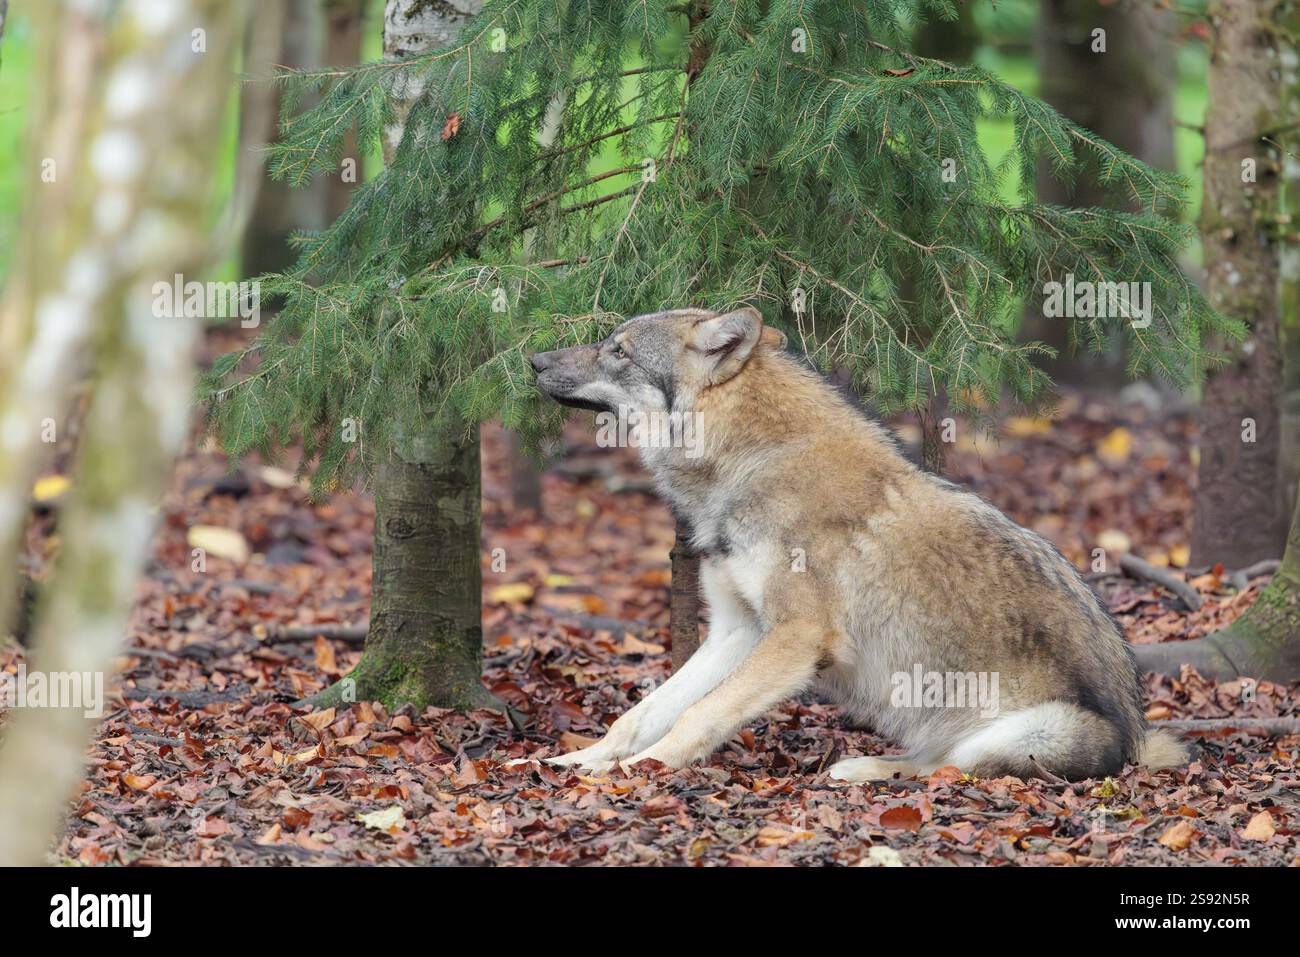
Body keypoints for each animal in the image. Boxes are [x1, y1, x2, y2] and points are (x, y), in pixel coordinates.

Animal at [530, 306, 1186, 781]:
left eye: (618, 350)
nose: (533, 360)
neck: (752, 461)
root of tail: (1137, 744)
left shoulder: (796, 637)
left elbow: (696, 716)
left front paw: (638, 773)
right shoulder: (734, 632)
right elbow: (640, 715)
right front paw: (572, 762)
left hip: (1036, 731)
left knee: (949, 770)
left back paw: (861, 768)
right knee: (933, 761)